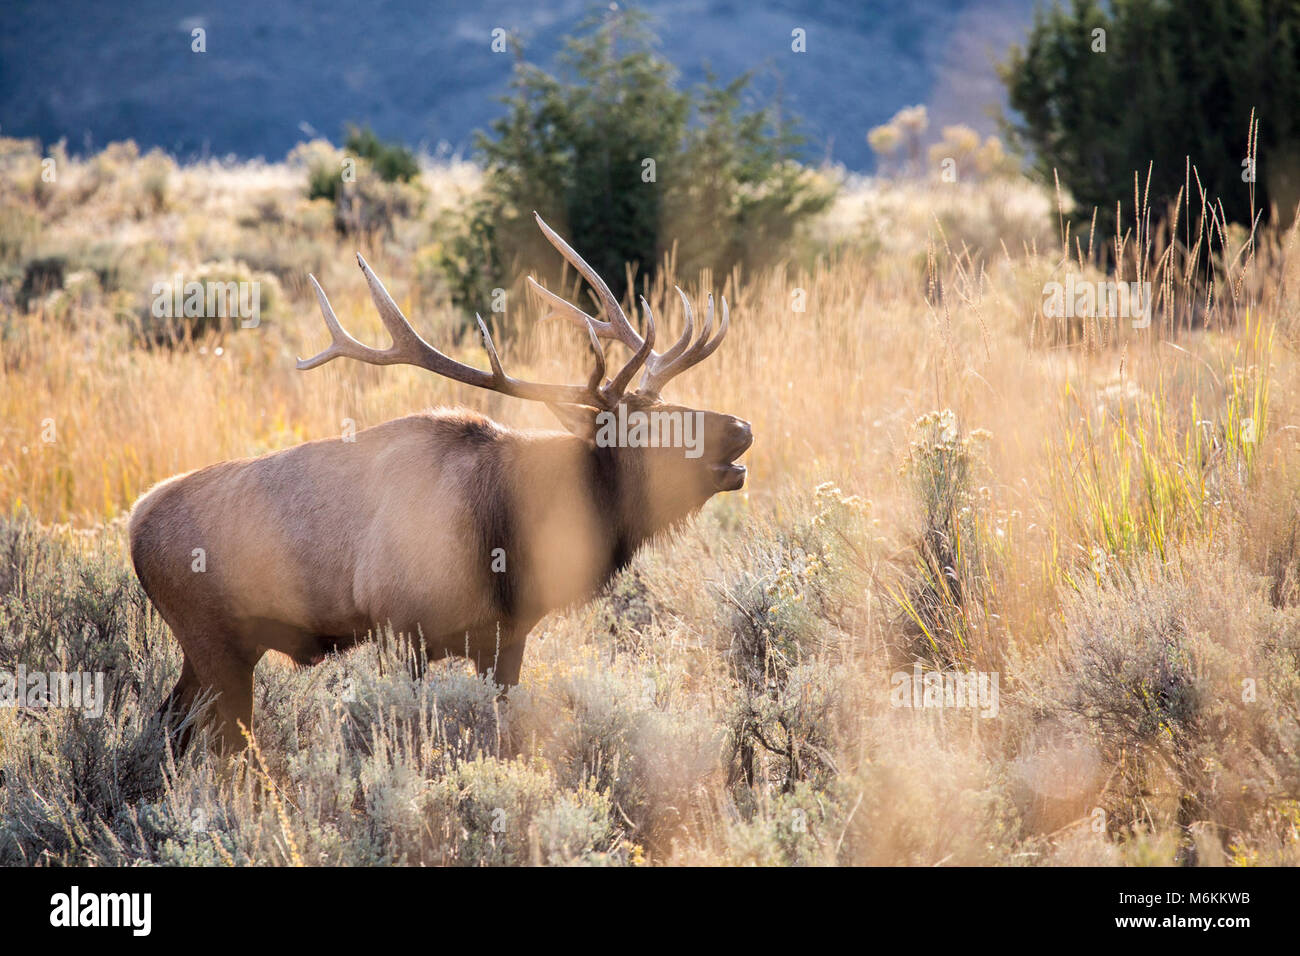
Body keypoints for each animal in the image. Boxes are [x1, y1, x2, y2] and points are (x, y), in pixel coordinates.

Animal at [129, 214, 753, 753]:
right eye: (646, 426)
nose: (741, 428)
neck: (508, 539)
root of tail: (134, 524)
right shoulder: (399, 627)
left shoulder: (506, 637)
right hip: (210, 638)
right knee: (219, 740)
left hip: (220, 648)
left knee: (171, 720)